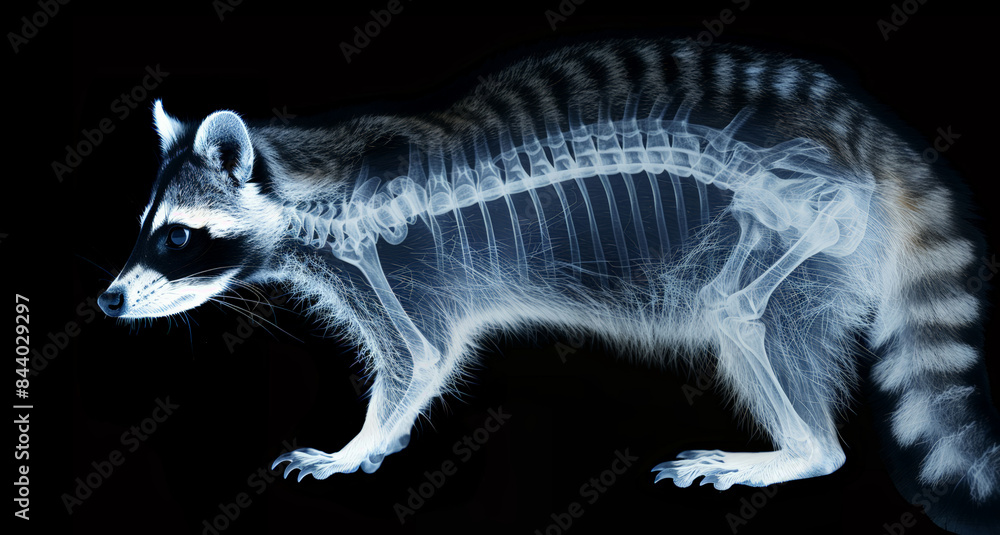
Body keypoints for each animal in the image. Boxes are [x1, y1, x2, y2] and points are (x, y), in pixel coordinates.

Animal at [96, 37, 998, 533]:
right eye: (147, 224)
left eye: (179, 236)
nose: (109, 298)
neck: (306, 183)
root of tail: (867, 137)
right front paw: (375, 444)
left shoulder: (398, 267)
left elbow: (420, 357)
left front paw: (357, 444)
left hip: (797, 224)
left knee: (748, 315)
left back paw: (800, 447)